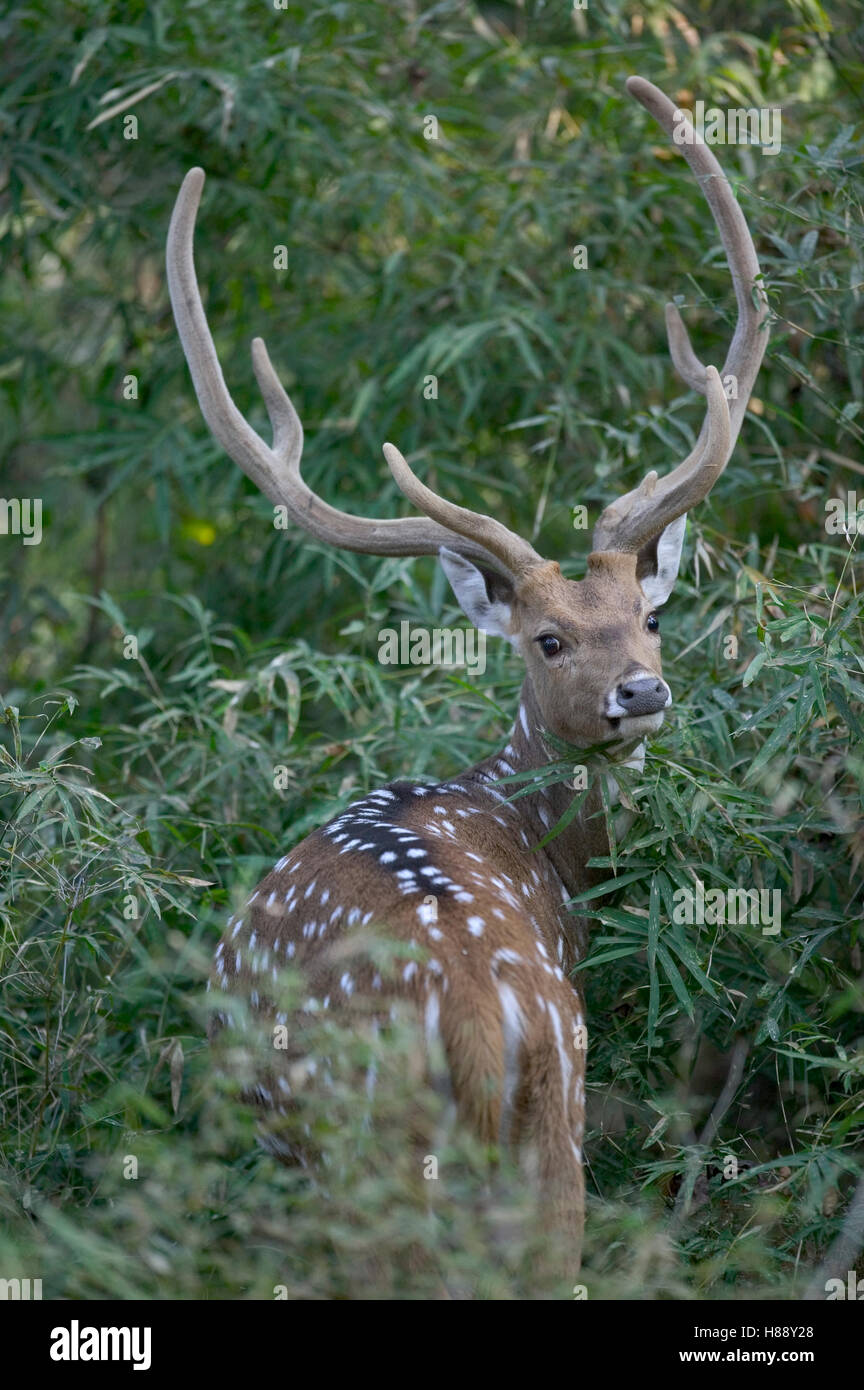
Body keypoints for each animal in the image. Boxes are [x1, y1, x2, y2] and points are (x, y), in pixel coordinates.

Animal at [166, 75, 769, 1271]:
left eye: (651, 617)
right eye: (549, 638)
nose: (642, 691)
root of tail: (483, 1007)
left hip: (365, 1151)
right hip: (557, 1106)